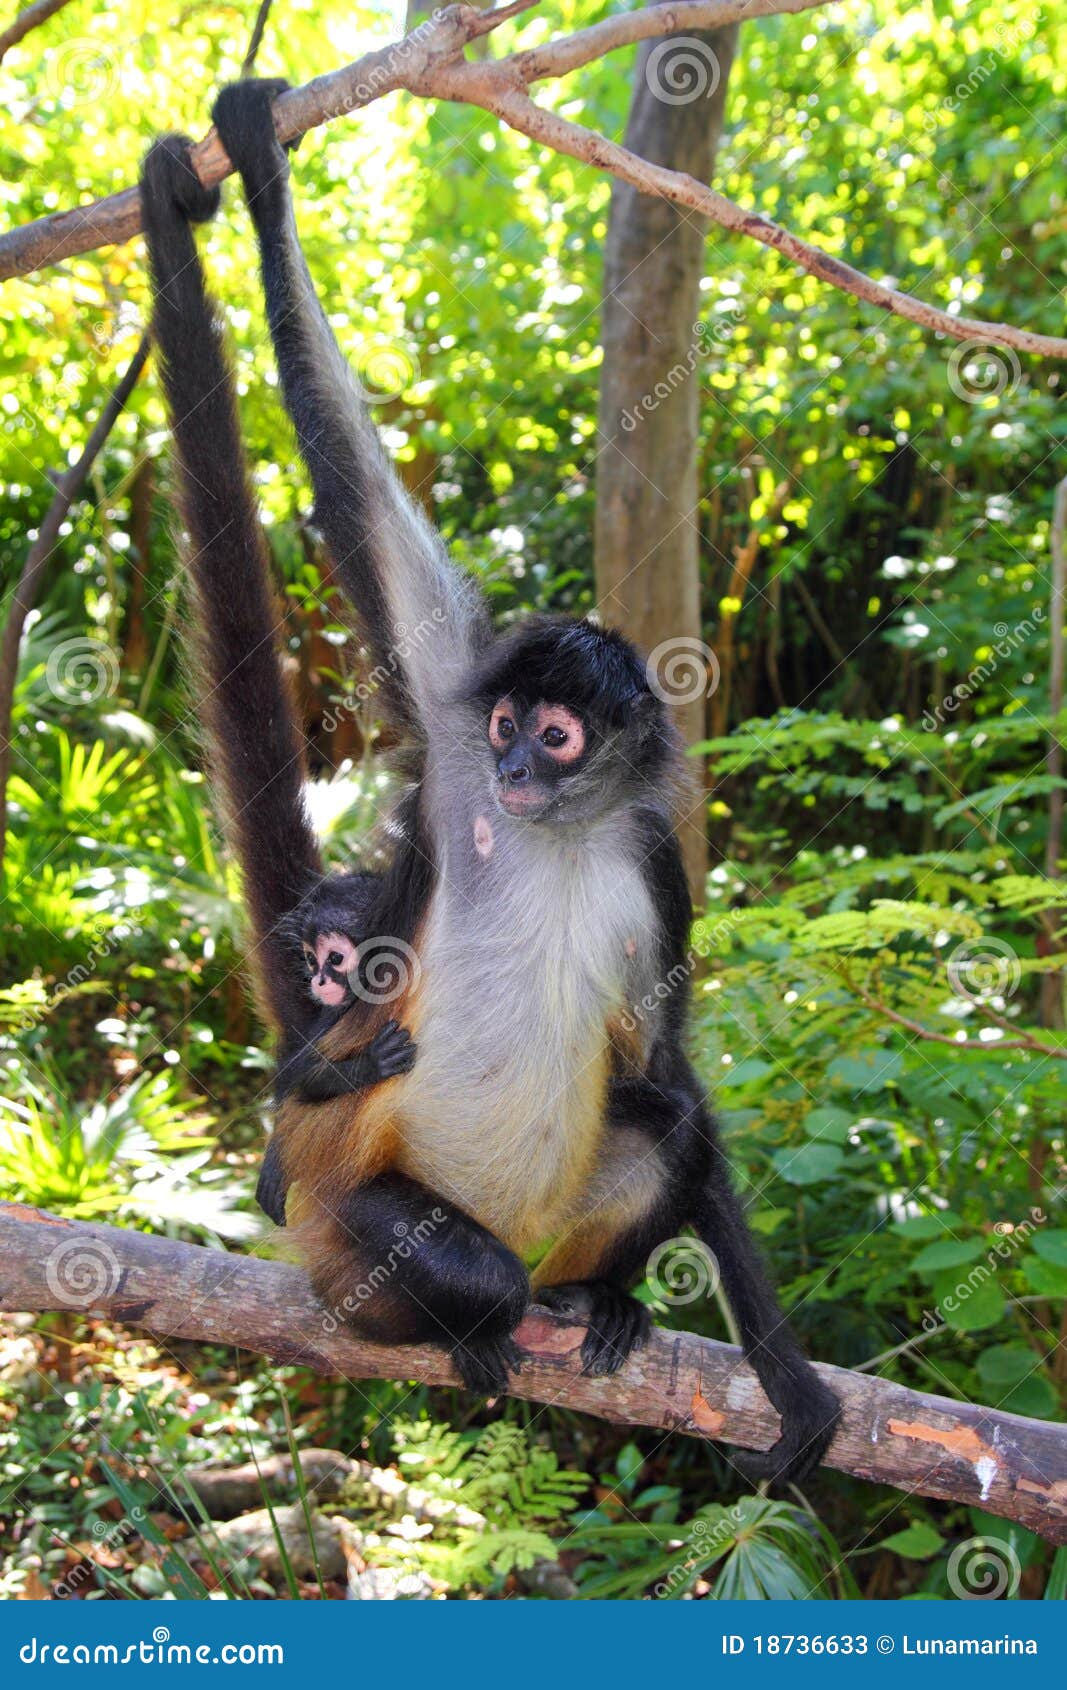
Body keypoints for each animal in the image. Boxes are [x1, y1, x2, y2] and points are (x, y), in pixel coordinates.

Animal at [139, 90, 841, 1485]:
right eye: (507, 725)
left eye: (559, 738)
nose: (515, 767)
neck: (557, 839)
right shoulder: (449, 752)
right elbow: (358, 497)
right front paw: (260, 171)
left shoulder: (653, 856)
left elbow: (673, 1072)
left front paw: (788, 1379)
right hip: (350, 1224)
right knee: (459, 1257)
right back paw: (466, 1325)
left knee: (659, 1127)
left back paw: (590, 1295)